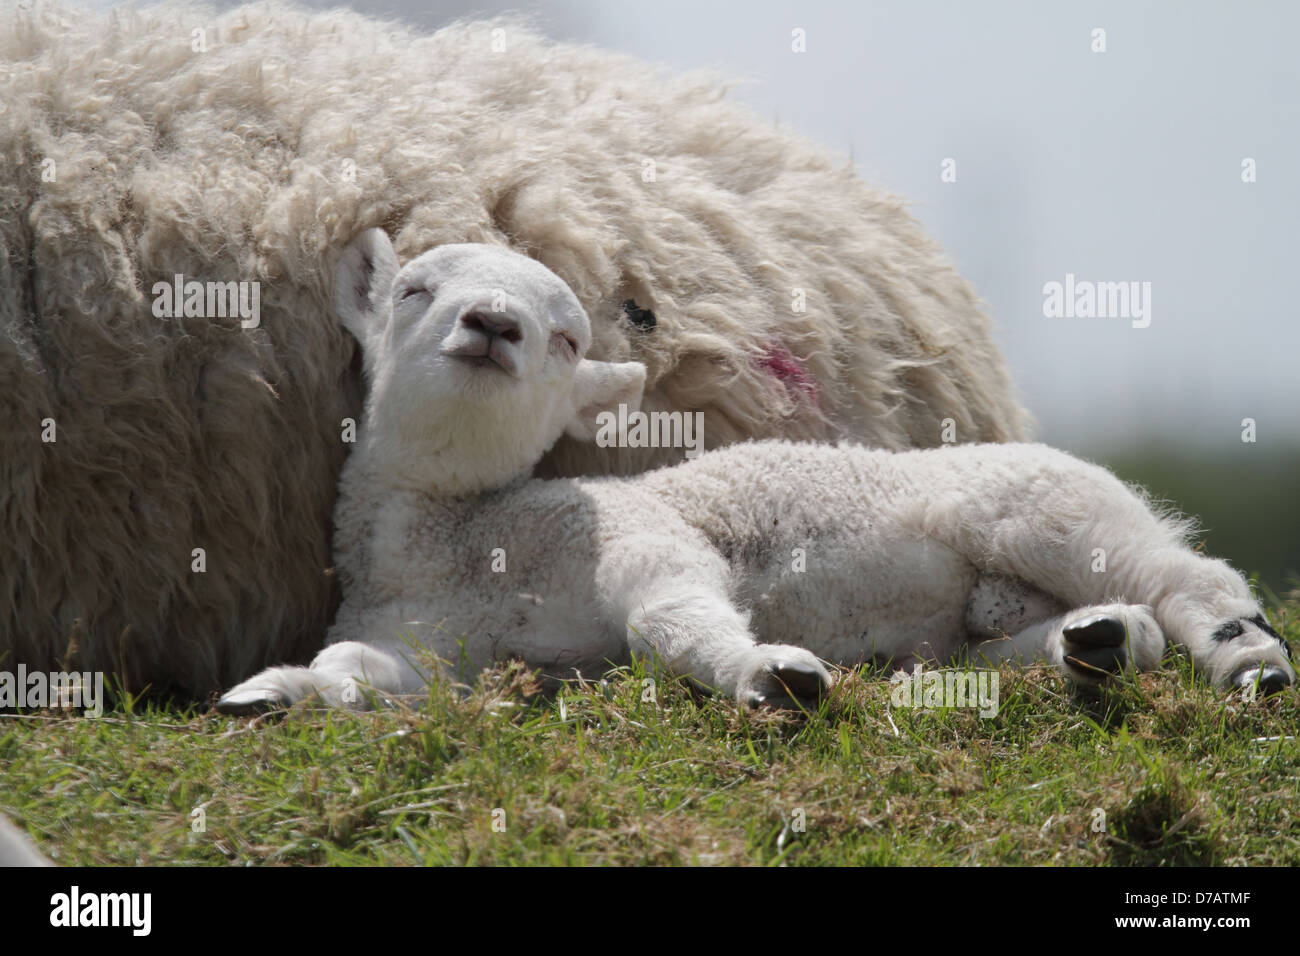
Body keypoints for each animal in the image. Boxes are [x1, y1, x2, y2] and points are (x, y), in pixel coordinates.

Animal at [216, 231, 1294, 714]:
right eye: (412, 289)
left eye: (568, 339)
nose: (491, 325)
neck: (459, 536)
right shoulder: (425, 643)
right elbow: (360, 673)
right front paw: (270, 692)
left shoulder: (636, 539)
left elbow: (671, 619)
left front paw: (769, 674)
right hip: (987, 606)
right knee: (1084, 630)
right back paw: (1095, 643)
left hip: (1045, 508)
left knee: (1186, 576)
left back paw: (1244, 655)